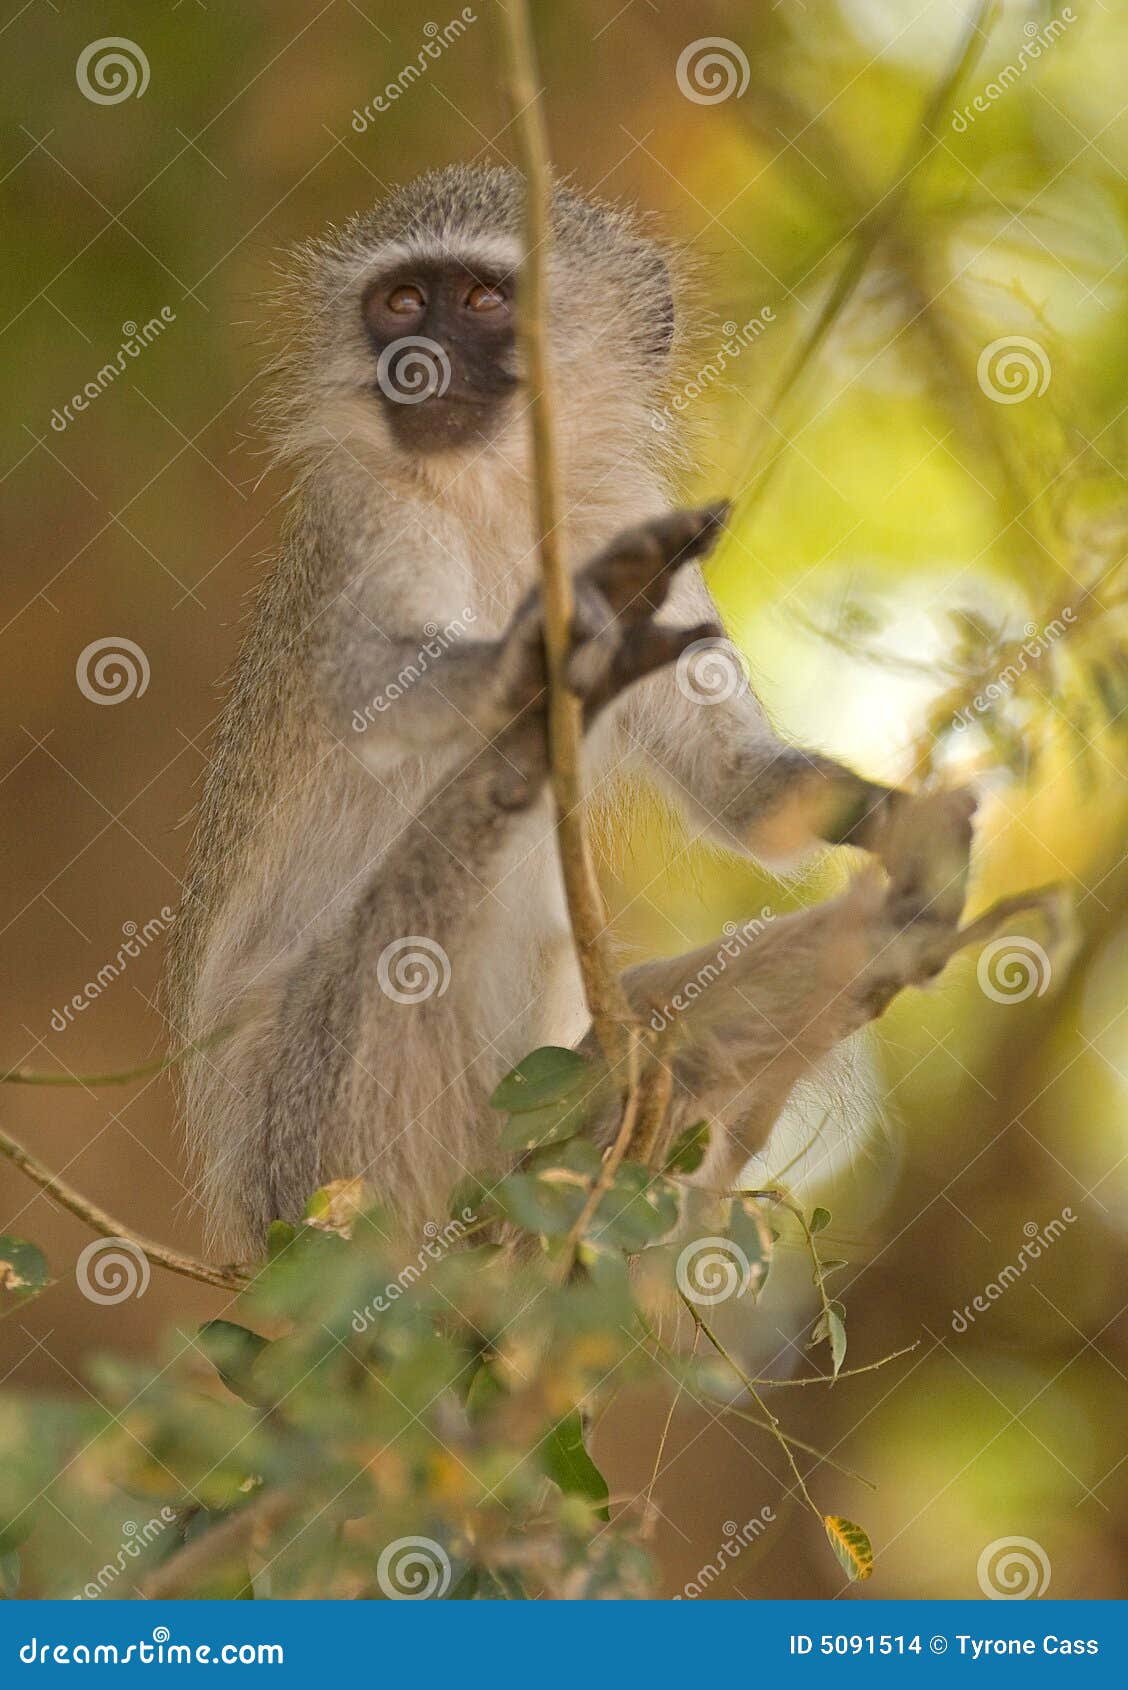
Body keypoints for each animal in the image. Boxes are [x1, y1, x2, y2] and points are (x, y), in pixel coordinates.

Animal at [169, 163, 984, 1258]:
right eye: (399, 303)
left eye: (481, 300)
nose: (413, 364)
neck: (498, 494)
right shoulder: (372, 517)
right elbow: (366, 692)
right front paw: (539, 661)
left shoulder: (626, 520)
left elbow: (743, 795)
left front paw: (895, 822)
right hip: (306, 1144)